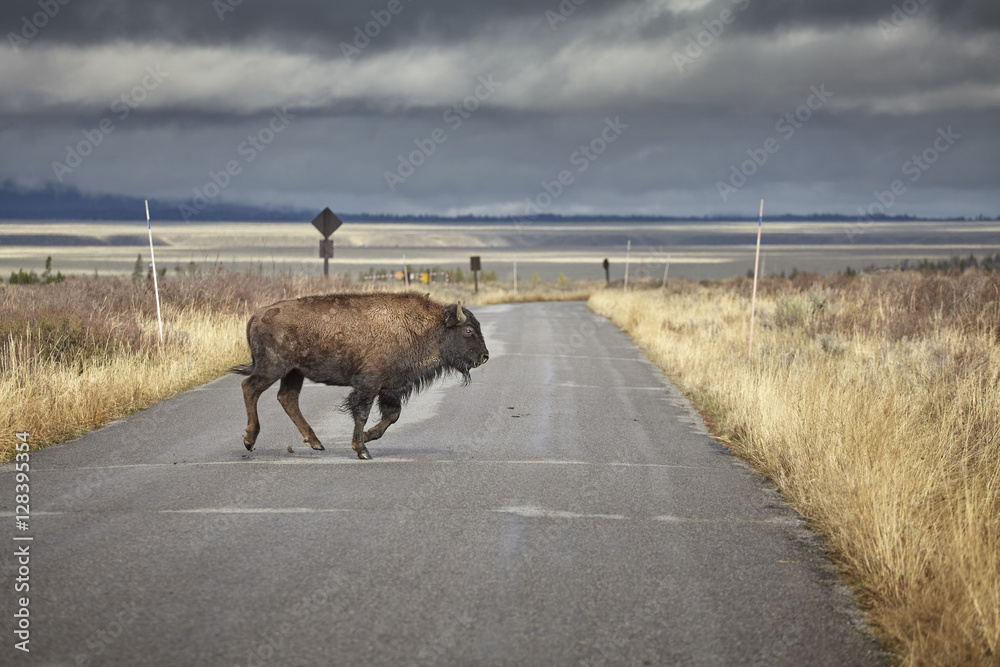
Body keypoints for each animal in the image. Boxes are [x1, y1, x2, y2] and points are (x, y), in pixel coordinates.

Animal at [231, 292, 489, 459]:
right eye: (468, 330)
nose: (485, 356)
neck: (425, 328)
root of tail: (257, 315)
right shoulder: (369, 384)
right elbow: (362, 414)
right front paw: (362, 450)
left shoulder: (390, 388)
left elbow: (393, 416)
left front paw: (367, 436)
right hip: (273, 368)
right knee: (249, 388)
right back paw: (249, 440)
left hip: (294, 373)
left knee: (287, 398)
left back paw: (316, 443)